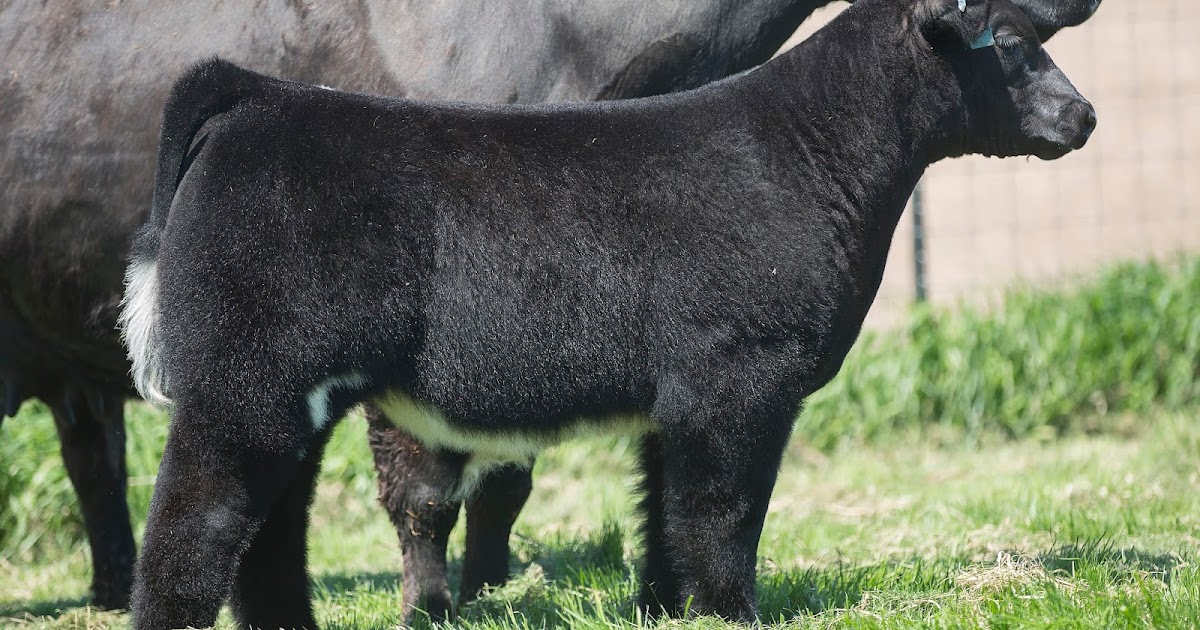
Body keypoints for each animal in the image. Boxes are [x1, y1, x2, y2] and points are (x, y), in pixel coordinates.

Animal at [0, 0, 1103, 613]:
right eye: (1009, 42)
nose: (1088, 114)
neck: (804, 154)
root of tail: (258, 96)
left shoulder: (679, 396)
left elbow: (665, 515)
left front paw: (667, 609)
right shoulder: (739, 380)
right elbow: (723, 517)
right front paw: (733, 614)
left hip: (285, 400)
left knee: (265, 539)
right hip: (244, 384)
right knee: (191, 526)